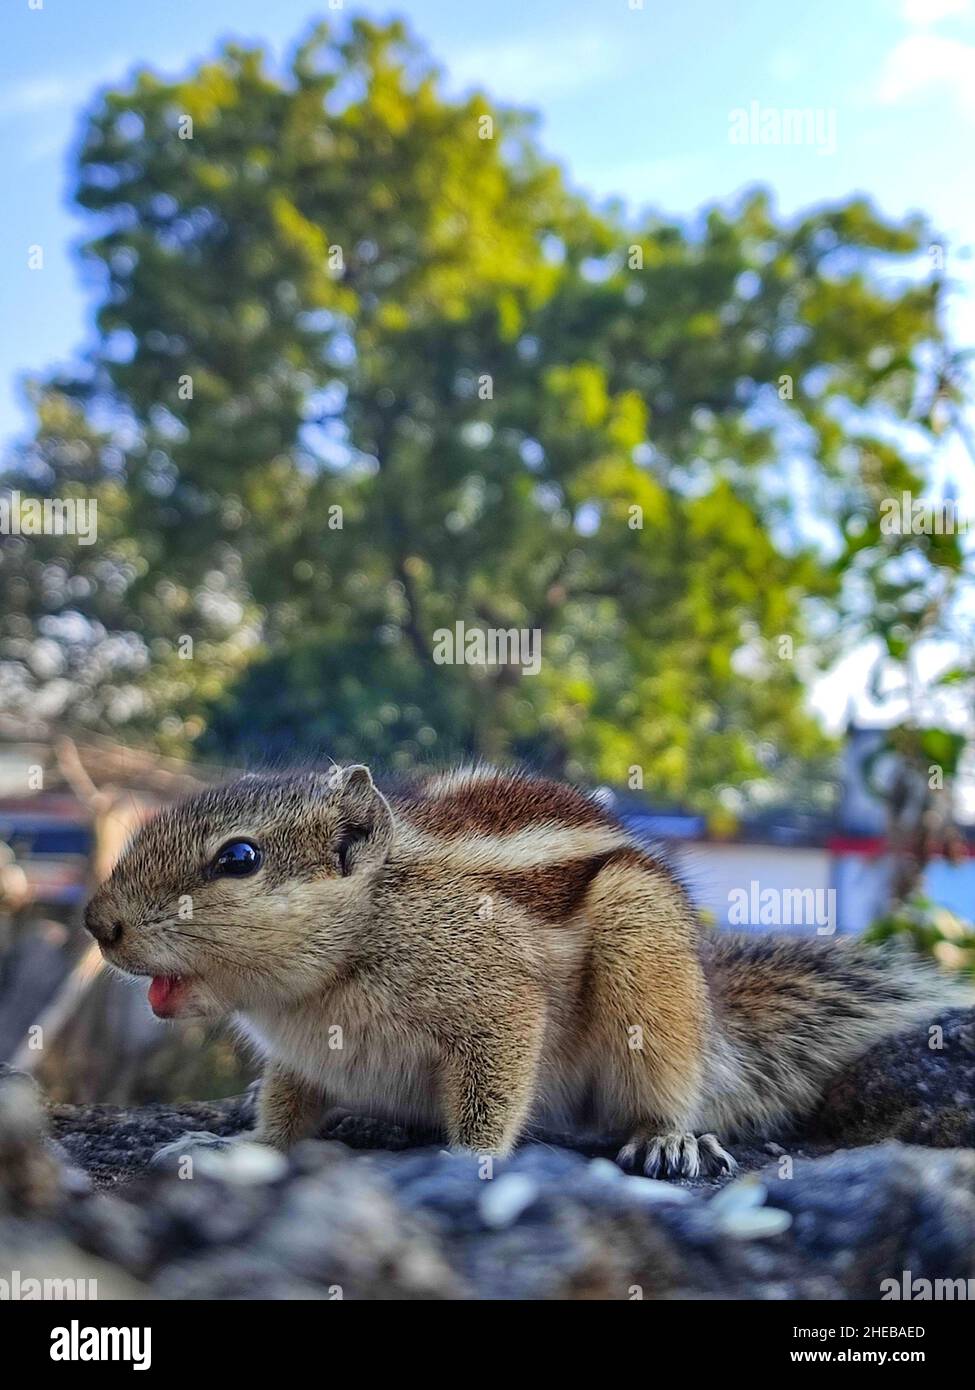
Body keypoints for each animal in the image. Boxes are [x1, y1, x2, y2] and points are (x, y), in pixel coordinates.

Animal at [83, 764, 969, 1178]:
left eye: (237, 859)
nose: (97, 923)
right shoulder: (302, 1057)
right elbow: (287, 1111)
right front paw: (239, 1143)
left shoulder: (496, 1003)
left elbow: (494, 1090)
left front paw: (464, 1162)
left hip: (646, 952)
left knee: (661, 1091)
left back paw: (667, 1139)